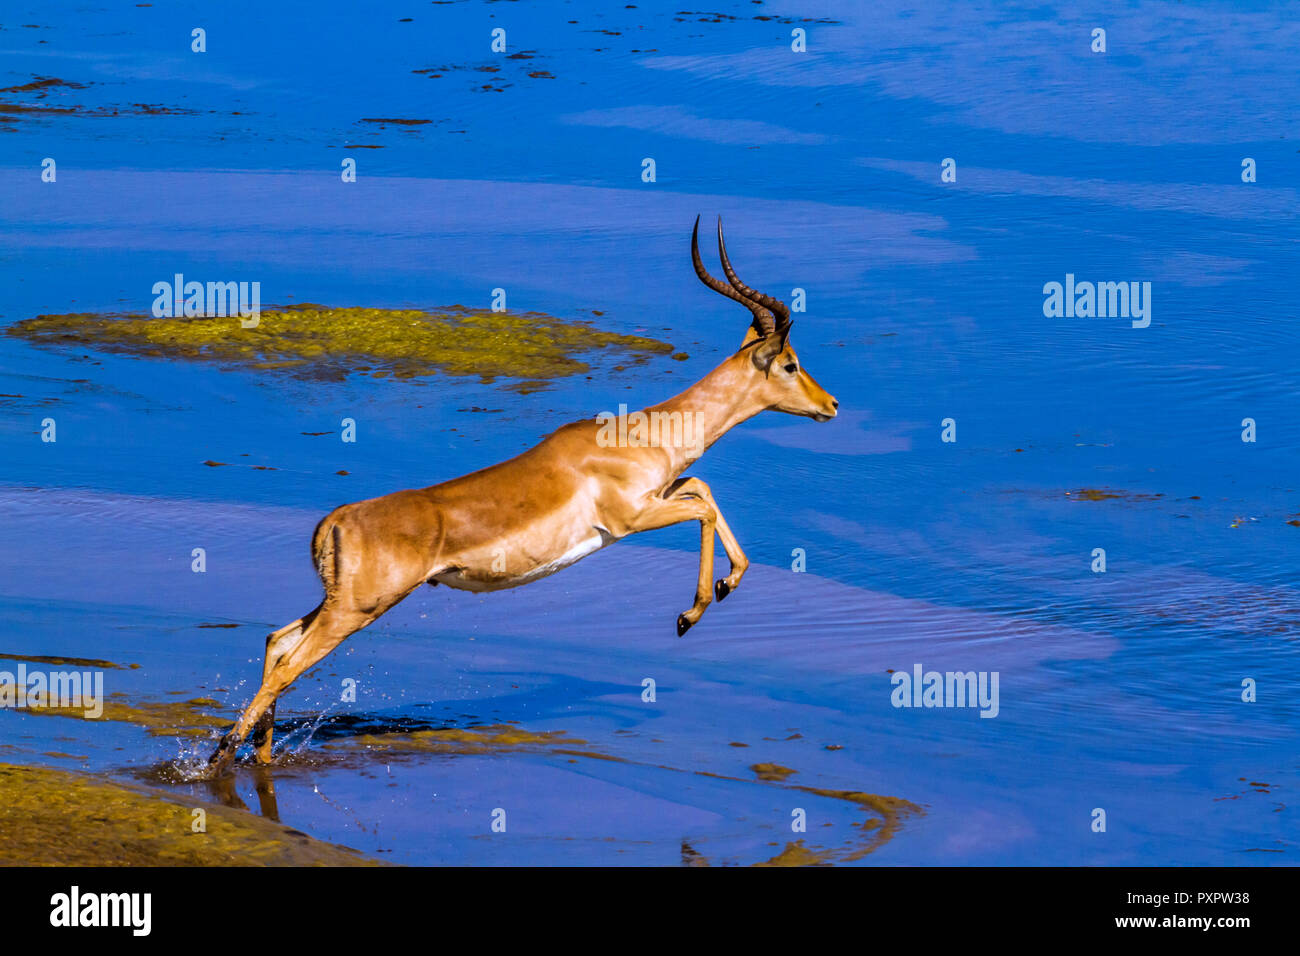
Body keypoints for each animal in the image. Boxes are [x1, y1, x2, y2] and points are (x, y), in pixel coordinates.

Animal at [208, 217, 838, 773]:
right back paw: (219, 755)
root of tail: (335, 521)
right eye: (790, 362)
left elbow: (703, 486)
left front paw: (722, 589)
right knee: (288, 665)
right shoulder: (631, 519)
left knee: (276, 642)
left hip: (342, 604)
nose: (831, 405)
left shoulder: (661, 494)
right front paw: (693, 612)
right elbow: (703, 504)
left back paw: (260, 756)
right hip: (357, 610)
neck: (639, 435)